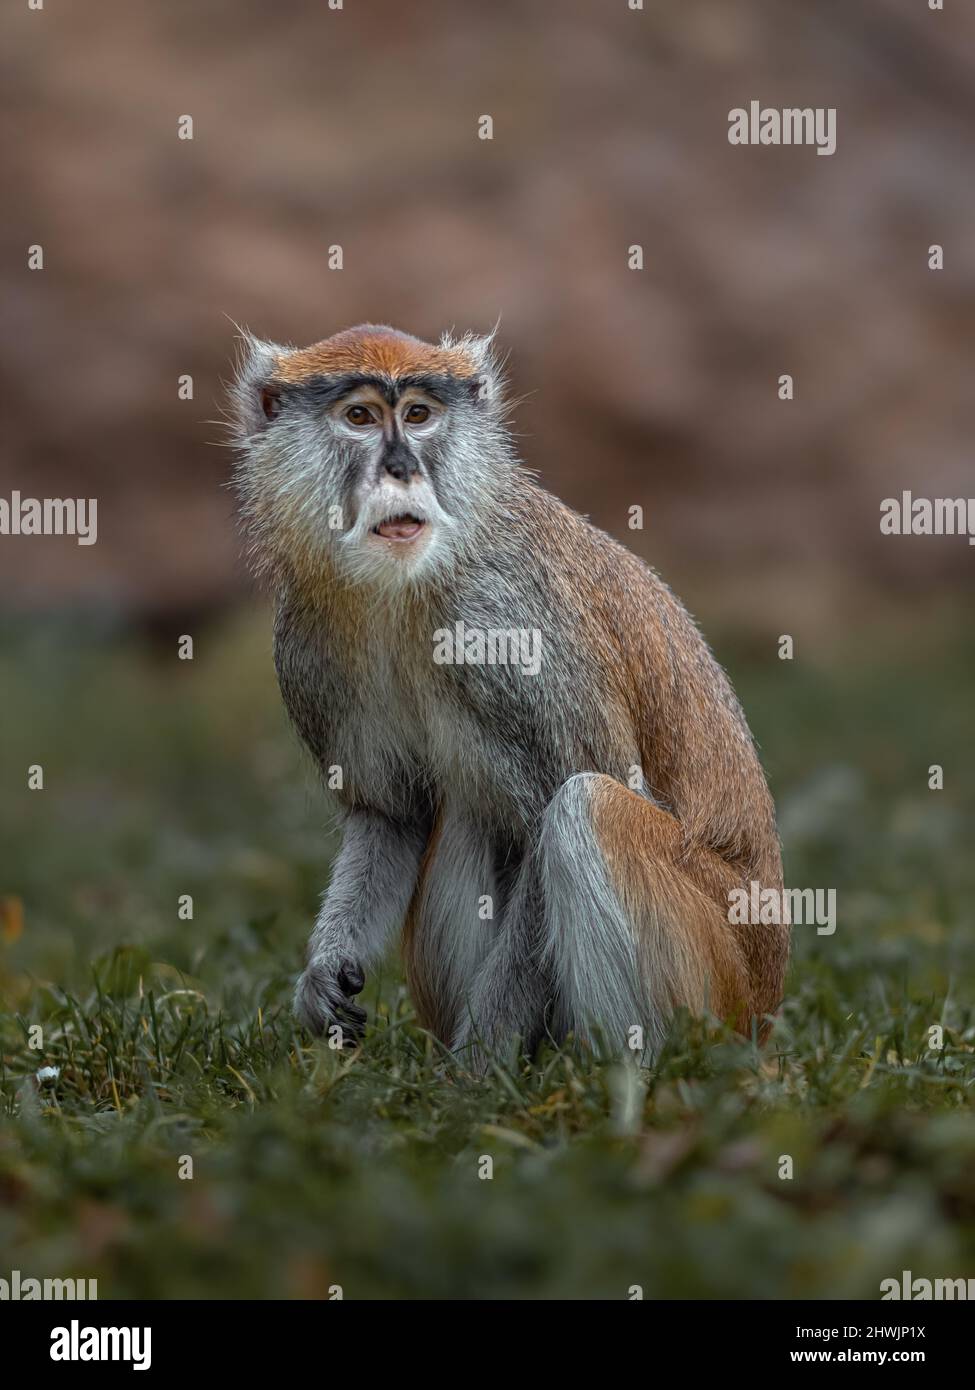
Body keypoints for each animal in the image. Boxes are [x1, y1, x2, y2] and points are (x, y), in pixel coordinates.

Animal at [229, 323, 788, 1066]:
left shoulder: (505, 623)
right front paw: (322, 978)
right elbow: (391, 814)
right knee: (465, 812)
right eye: (360, 417)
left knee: (584, 807)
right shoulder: (305, 636)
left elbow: (557, 813)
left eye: (418, 414)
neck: (416, 582)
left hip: (719, 987)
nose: (401, 469)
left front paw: (474, 1069)